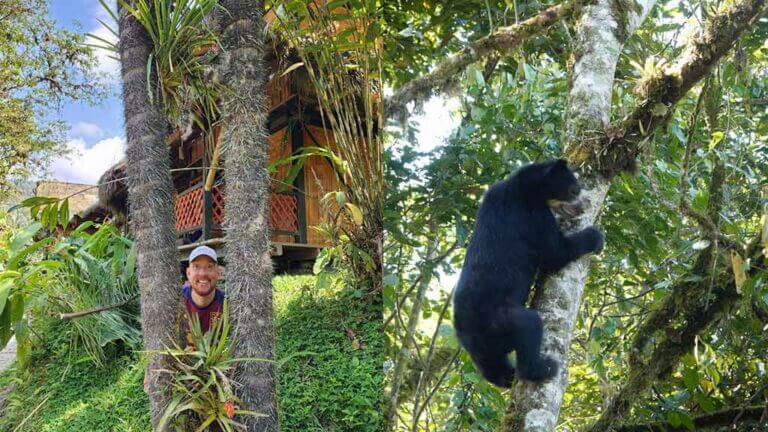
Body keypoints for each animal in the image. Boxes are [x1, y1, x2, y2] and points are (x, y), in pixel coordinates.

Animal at [453, 159, 604, 387]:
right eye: (574, 189)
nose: (582, 206)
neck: (523, 187)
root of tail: (467, 329)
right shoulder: (533, 216)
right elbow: (555, 251)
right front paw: (596, 236)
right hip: (501, 319)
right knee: (529, 325)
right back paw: (544, 368)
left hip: (480, 348)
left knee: (491, 367)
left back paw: (506, 376)